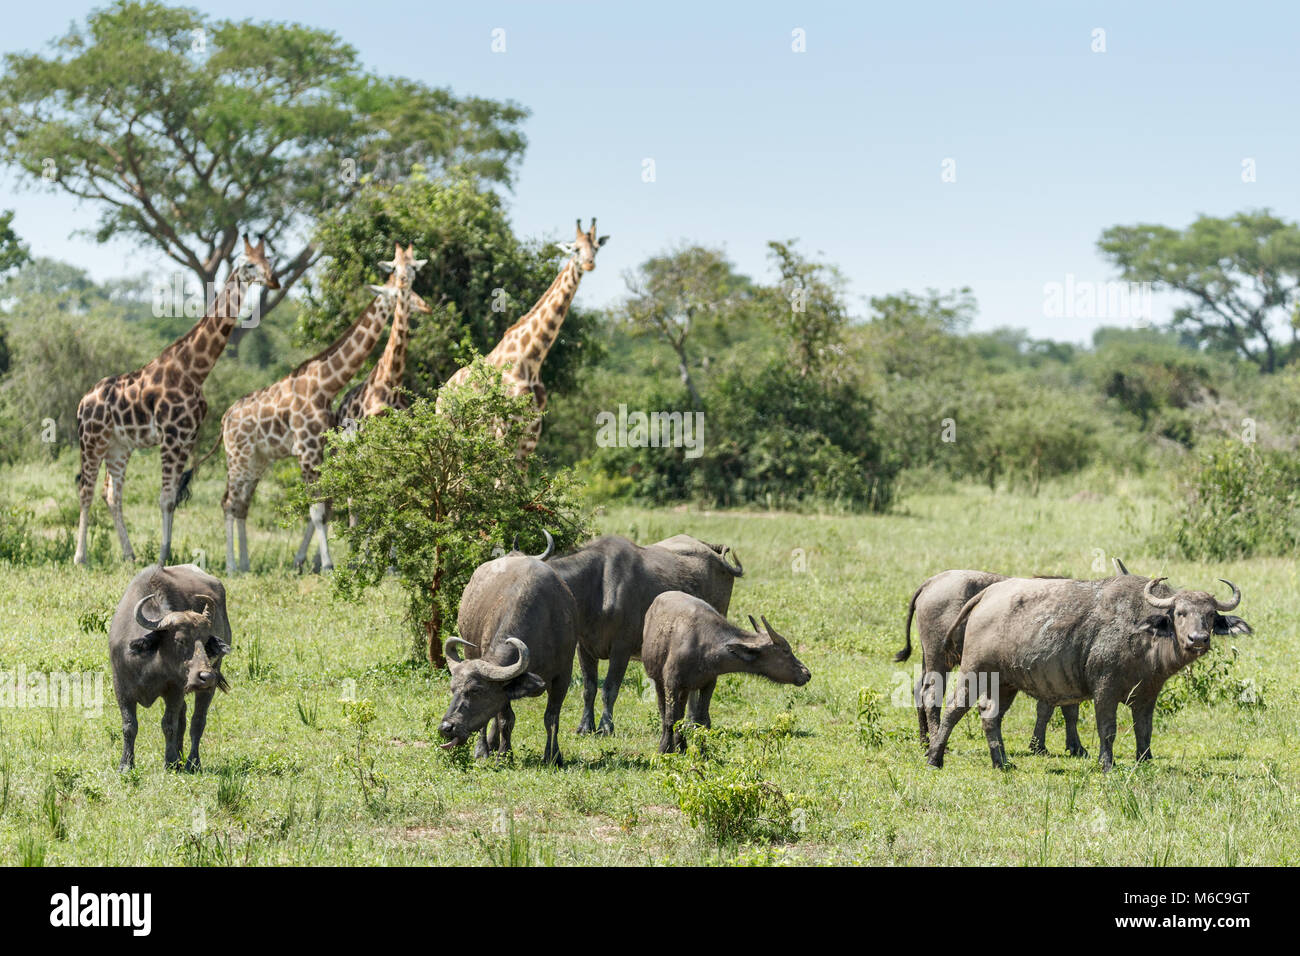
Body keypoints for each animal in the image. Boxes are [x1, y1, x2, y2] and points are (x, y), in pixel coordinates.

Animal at [73, 236, 279, 566]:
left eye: (269, 260)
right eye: (249, 264)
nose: (274, 280)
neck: (194, 371)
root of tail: (82, 402)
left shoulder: (187, 438)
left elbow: (171, 499)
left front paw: (164, 554)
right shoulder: (171, 437)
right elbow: (165, 498)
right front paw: (161, 556)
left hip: (119, 446)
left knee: (112, 494)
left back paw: (129, 554)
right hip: (92, 440)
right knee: (86, 490)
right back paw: (81, 557)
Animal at [213, 252, 404, 573]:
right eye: (393, 291)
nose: (418, 303)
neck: (324, 383)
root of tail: (225, 418)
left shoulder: (320, 449)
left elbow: (327, 504)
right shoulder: (307, 449)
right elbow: (318, 509)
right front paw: (327, 565)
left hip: (257, 461)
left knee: (241, 505)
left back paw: (246, 564)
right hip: (238, 458)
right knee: (228, 503)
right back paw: (231, 567)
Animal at [440, 218, 608, 458]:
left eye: (596, 247)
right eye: (575, 249)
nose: (589, 263)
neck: (531, 358)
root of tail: (441, 393)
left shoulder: (530, 436)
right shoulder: (503, 430)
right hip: (450, 433)